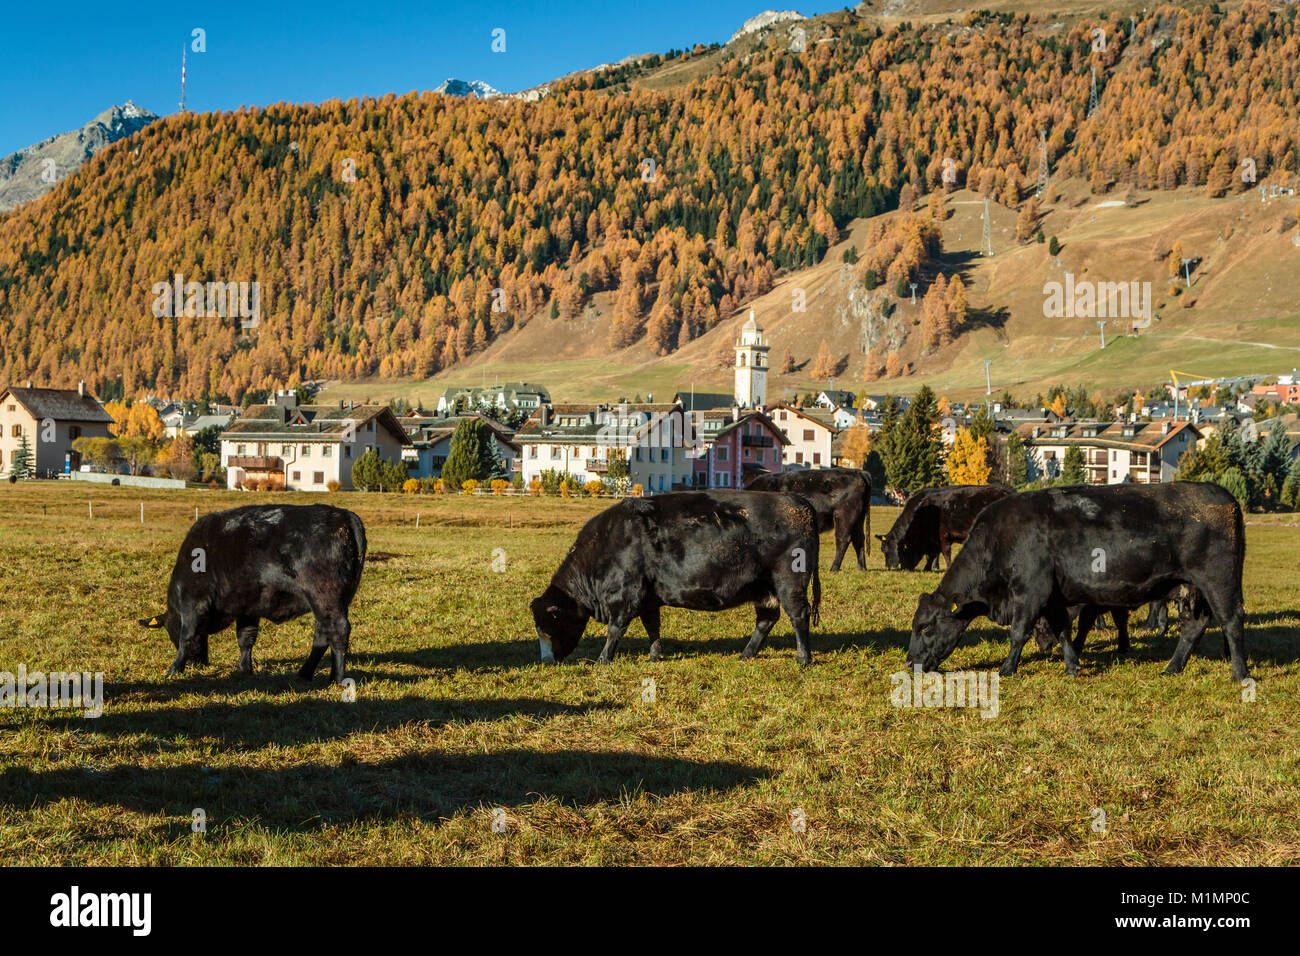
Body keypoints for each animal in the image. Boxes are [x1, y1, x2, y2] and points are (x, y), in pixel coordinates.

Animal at [138, 504, 367, 684]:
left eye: (171, 631)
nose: (199, 663)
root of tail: (344, 515)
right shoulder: (248, 608)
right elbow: (245, 638)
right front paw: (243, 669)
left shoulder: (193, 604)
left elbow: (187, 637)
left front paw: (173, 669)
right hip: (329, 602)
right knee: (322, 634)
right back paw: (305, 673)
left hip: (325, 597)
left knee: (338, 631)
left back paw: (337, 678)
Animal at [530, 491, 822, 666]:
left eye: (548, 627)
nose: (546, 661)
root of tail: (798, 502)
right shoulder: (647, 598)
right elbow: (652, 626)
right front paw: (655, 656)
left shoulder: (626, 595)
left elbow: (615, 629)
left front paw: (604, 658)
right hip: (763, 587)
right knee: (766, 619)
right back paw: (746, 654)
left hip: (788, 581)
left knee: (798, 614)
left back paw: (803, 657)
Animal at [878, 484, 1014, 571]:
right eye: (883, 550)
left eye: (901, 549)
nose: (895, 567)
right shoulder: (934, 540)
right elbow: (932, 554)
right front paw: (928, 568)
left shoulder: (943, 535)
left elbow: (944, 553)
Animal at [907, 482, 1247, 680]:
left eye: (924, 627)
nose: (910, 663)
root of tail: (1225, 498)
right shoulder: (1053, 598)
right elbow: (1064, 632)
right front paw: (1072, 666)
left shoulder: (1030, 594)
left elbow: (1018, 633)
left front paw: (1006, 669)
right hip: (1190, 588)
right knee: (1194, 626)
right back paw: (1172, 669)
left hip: (1219, 581)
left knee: (1231, 622)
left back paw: (1239, 673)